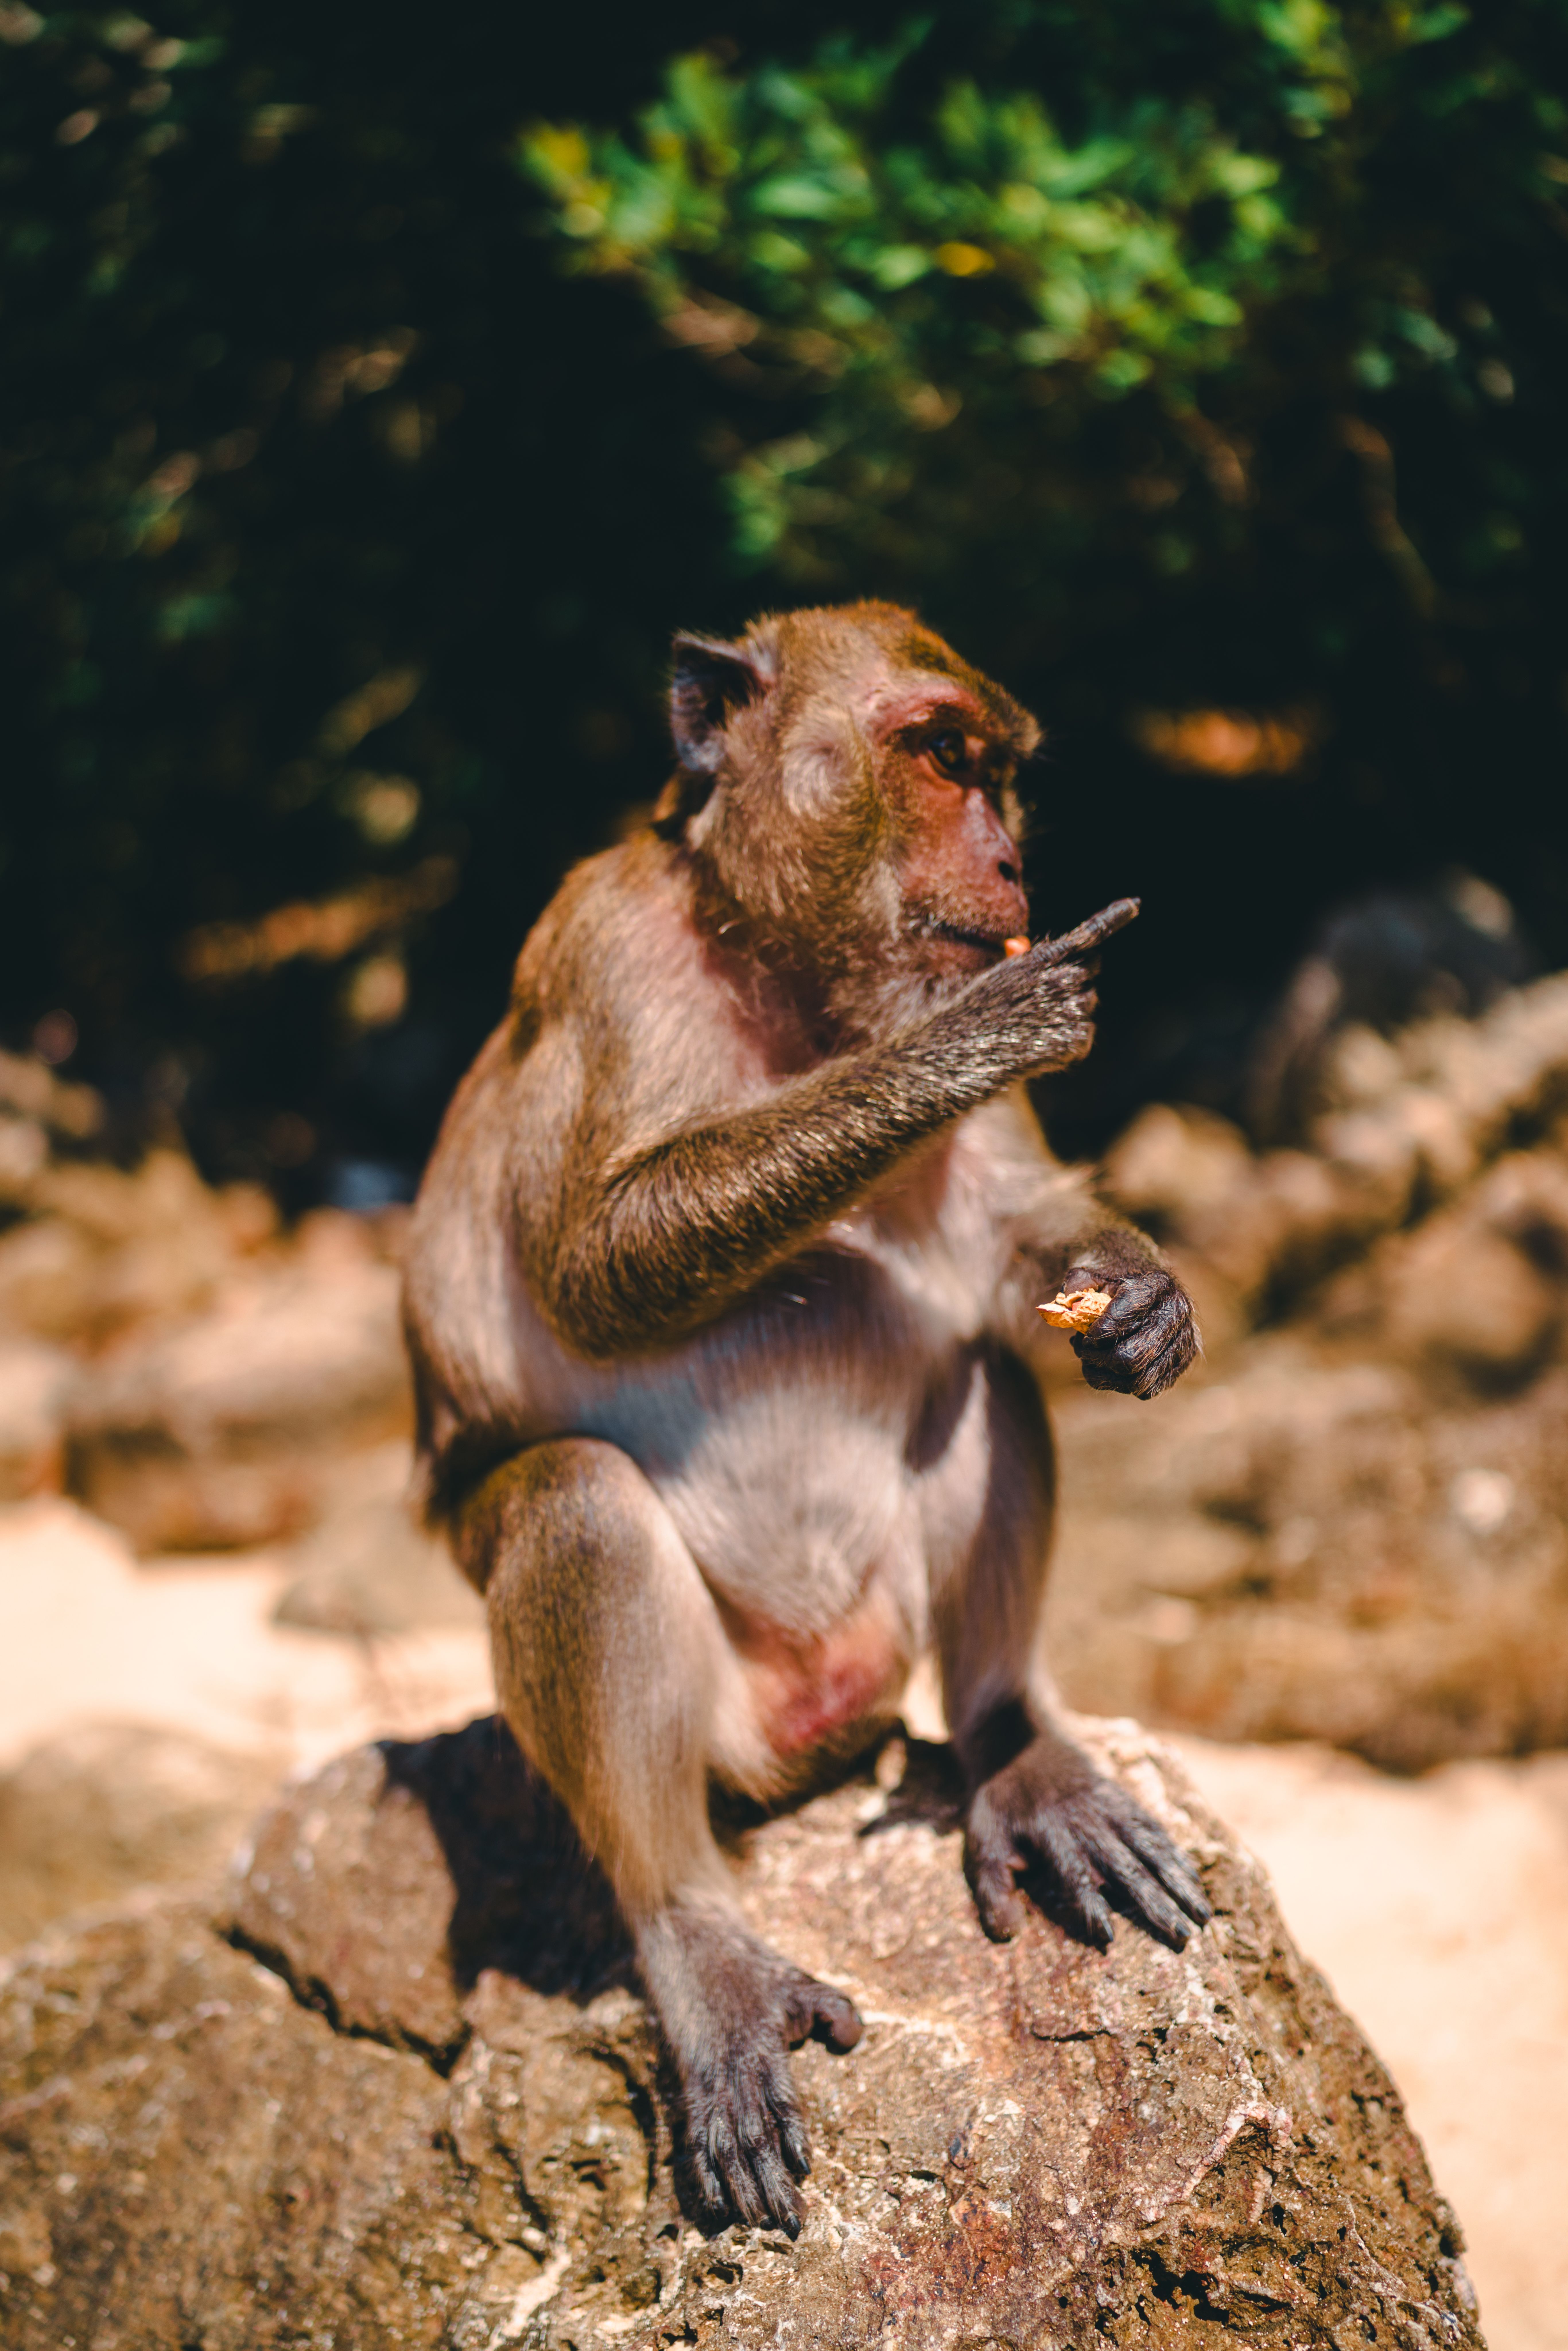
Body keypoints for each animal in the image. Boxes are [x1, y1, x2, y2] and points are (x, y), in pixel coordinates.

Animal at [402, 600, 1205, 2240]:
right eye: (940, 758)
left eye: (999, 776)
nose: (1010, 861)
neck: (777, 976)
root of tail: (814, 1724)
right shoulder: (601, 952)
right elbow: (592, 1261)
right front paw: (973, 1037)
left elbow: (1012, 1235)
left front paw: (1140, 1292)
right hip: (722, 1728)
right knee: (576, 1503)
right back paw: (693, 1938)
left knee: (982, 1377)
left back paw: (1009, 1739)